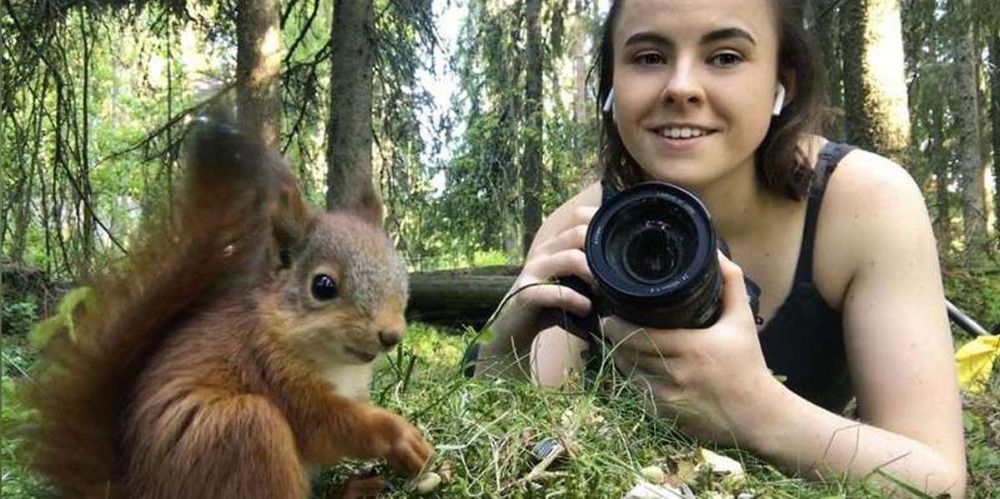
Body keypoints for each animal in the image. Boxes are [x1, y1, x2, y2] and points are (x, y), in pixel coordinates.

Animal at [23, 115, 434, 498]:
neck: (334, 363)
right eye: (323, 286)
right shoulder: (273, 371)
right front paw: (400, 435)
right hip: (244, 429)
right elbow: (330, 427)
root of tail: (137, 490)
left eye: (401, 273)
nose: (391, 335)